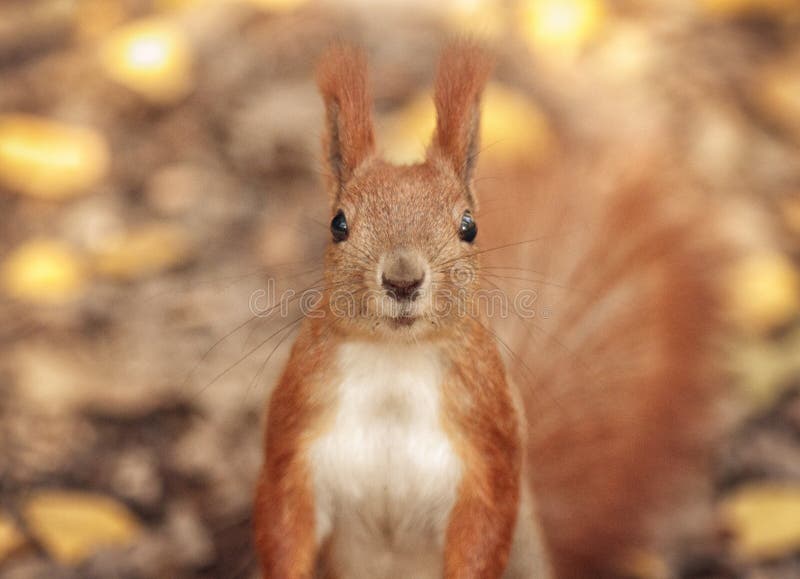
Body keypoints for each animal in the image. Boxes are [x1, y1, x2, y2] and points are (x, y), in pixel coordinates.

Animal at [254, 40, 733, 579]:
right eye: (338, 224)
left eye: (469, 226)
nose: (402, 280)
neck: (396, 363)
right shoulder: (295, 437)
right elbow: (283, 522)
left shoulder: (489, 443)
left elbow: (484, 530)